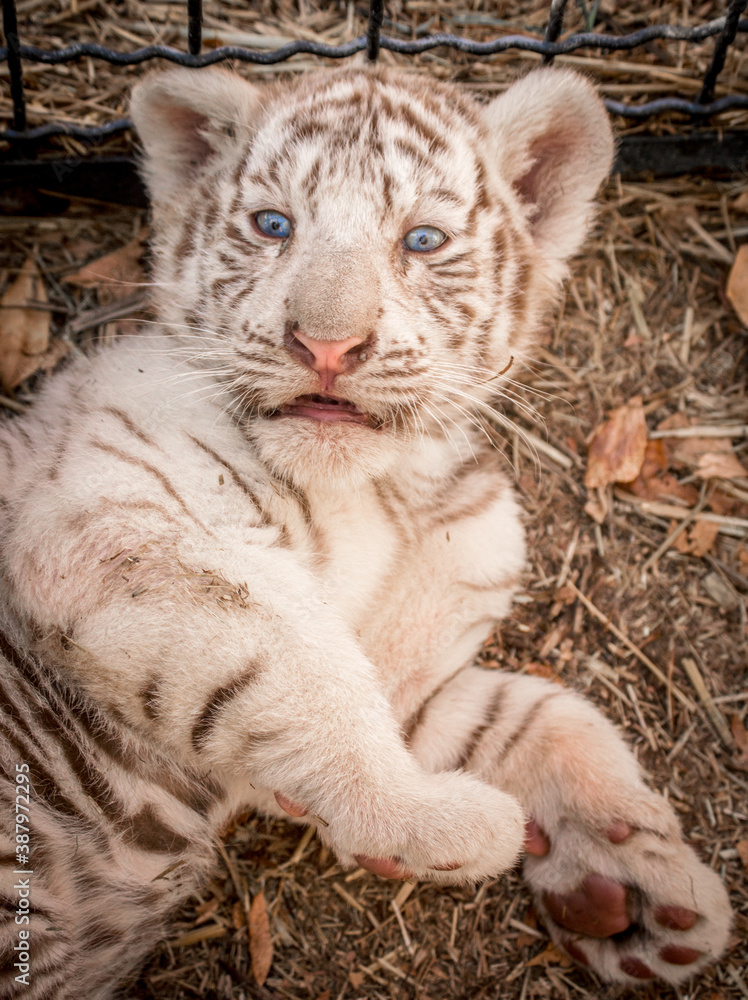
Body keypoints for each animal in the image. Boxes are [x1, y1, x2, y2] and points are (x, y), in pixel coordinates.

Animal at [0, 64, 732, 998]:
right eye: (273, 225)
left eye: (421, 240)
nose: (325, 344)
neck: (394, 486)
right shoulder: (108, 524)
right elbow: (294, 667)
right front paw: (429, 822)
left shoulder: (409, 677)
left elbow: (542, 713)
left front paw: (640, 889)